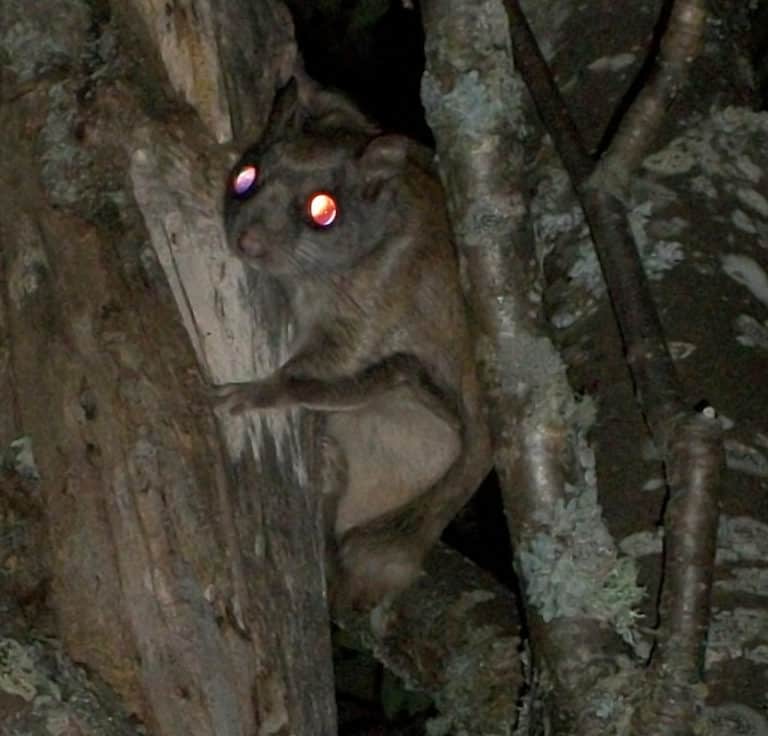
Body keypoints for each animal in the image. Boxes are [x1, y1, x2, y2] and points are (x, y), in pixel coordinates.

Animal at [216, 74, 492, 609]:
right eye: (246, 178)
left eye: (323, 211)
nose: (247, 242)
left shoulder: (379, 297)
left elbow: (310, 373)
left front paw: (255, 392)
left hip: (425, 421)